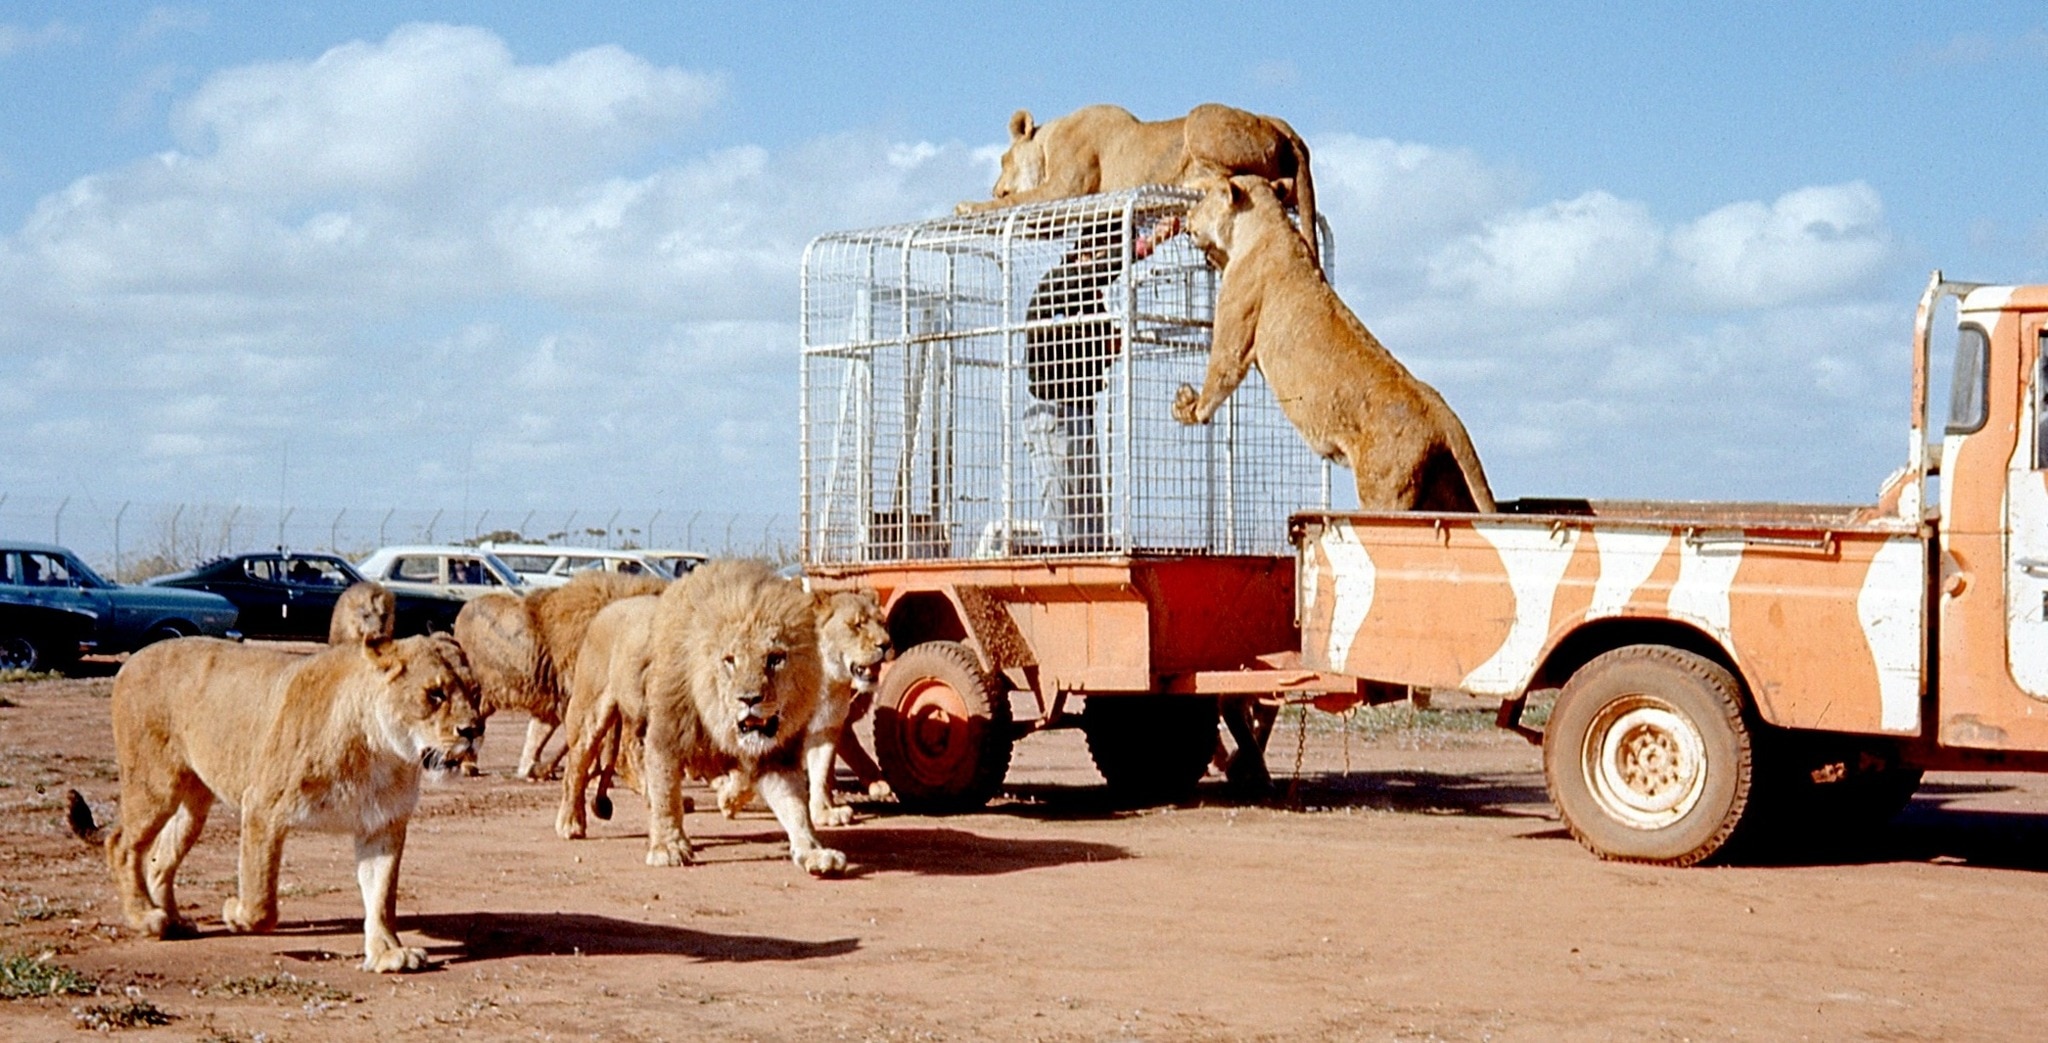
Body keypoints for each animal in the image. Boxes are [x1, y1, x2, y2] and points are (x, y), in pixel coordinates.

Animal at [72, 617, 479, 973]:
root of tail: (133, 659)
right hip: (155, 786)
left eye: (475, 692)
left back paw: (173, 921)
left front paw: (387, 954)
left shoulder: (382, 824)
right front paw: (234, 913)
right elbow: (261, 901)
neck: (383, 753)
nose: (473, 730)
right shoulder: (262, 807)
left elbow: (380, 896)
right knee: (121, 845)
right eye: (435, 694)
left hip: (193, 802)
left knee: (160, 858)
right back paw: (146, 917)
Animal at [554, 559, 846, 876]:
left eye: (775, 658)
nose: (749, 699)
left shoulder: (775, 755)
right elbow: (667, 794)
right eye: (729, 660)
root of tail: (611, 604)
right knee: (576, 769)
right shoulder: (666, 736)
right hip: (589, 715)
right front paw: (668, 847)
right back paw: (570, 822)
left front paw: (814, 852)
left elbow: (794, 807)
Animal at [958, 103, 1320, 269]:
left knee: (1246, 180)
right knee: (1281, 186)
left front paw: (970, 207)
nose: (994, 188)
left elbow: (1017, 202)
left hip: (1200, 117)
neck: (1048, 139)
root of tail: (1285, 127)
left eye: (1002, 159)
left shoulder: (1066, 187)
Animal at [1173, 174, 1496, 513]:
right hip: (1447, 491)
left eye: (1204, 199)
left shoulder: (1237, 321)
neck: (1268, 225)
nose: (1188, 216)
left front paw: (1188, 407)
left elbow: (1220, 375)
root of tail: (1443, 416)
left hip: (1383, 491)